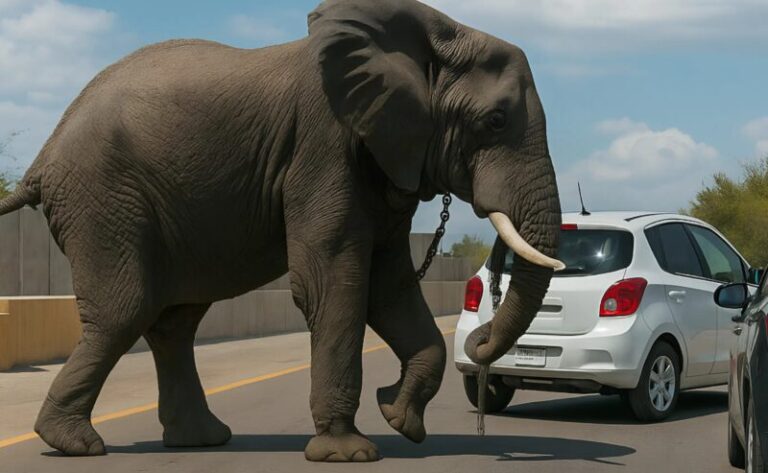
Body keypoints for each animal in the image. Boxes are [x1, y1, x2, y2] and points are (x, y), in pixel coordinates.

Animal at [0, 0, 563, 462]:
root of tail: (43, 159)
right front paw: (348, 452)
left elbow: (389, 286)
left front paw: (400, 418)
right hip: (104, 198)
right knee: (127, 309)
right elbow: (334, 281)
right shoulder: (326, 145)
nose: (482, 341)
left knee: (175, 319)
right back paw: (74, 444)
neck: (435, 31)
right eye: (495, 121)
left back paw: (201, 440)